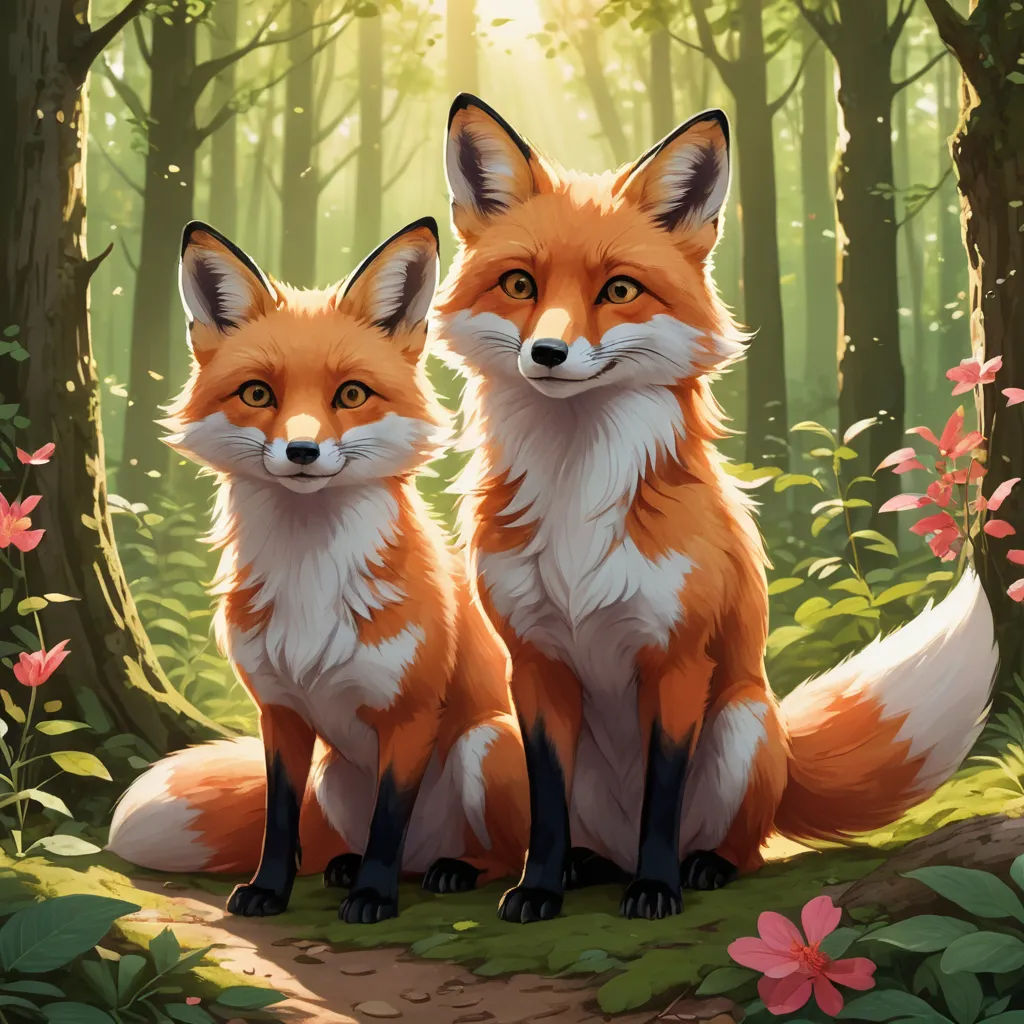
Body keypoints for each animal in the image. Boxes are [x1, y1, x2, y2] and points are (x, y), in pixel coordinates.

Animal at [107, 216, 529, 924]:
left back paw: (461, 871)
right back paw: (352, 867)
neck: (309, 578)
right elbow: (280, 819)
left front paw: (374, 899)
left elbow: (390, 820)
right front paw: (268, 890)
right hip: (334, 776)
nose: (301, 451)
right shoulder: (280, 712)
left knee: (494, 852)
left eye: (351, 394)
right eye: (258, 394)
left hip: (488, 740)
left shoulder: (410, 716)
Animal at [431, 93, 999, 924]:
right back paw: (528, 868)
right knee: (558, 834)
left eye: (619, 290)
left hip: (741, 721)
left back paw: (699, 867)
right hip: (487, 740)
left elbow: (663, 797)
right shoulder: (532, 663)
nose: (547, 355)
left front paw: (656, 888)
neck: (577, 499)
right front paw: (538, 888)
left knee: (745, 845)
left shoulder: (679, 660)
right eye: (519, 284)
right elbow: (547, 805)